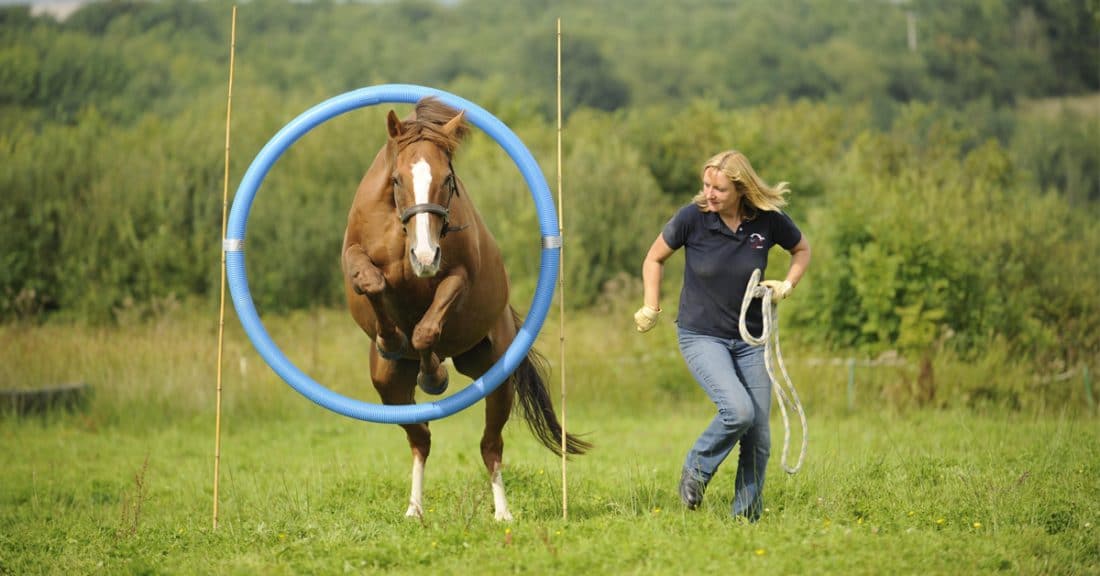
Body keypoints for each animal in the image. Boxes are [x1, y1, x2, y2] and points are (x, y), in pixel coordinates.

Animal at [342, 97, 590, 521]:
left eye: (447, 180)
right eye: (397, 180)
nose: (425, 256)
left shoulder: (457, 277)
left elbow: (427, 328)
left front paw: (434, 376)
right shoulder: (355, 256)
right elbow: (370, 280)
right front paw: (390, 338)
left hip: (495, 375)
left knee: (490, 445)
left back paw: (502, 512)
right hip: (388, 384)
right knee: (420, 438)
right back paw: (414, 510)